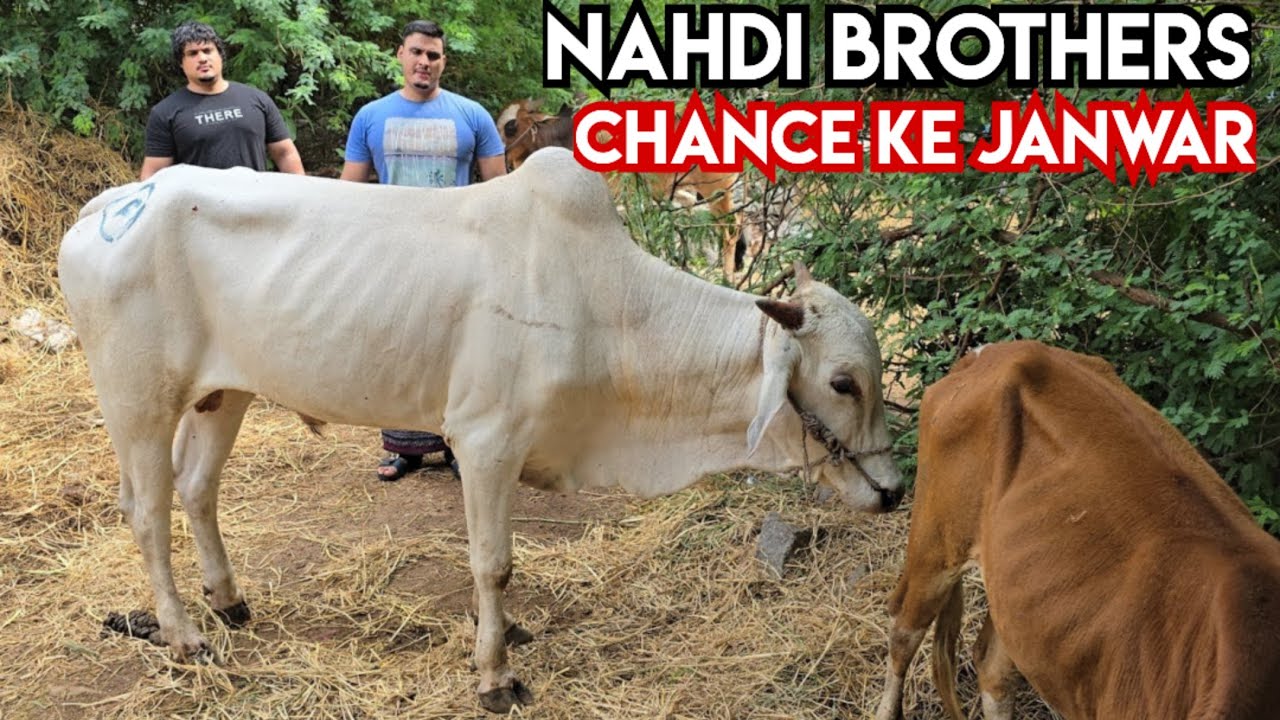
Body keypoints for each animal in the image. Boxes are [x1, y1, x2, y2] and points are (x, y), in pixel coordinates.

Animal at [59, 147, 904, 714]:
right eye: (842, 382)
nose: (896, 493)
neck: (607, 309)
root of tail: (107, 206)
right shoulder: (486, 440)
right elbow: (494, 565)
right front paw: (495, 675)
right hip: (136, 401)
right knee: (146, 510)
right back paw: (184, 633)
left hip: (221, 395)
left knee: (197, 490)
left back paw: (230, 601)